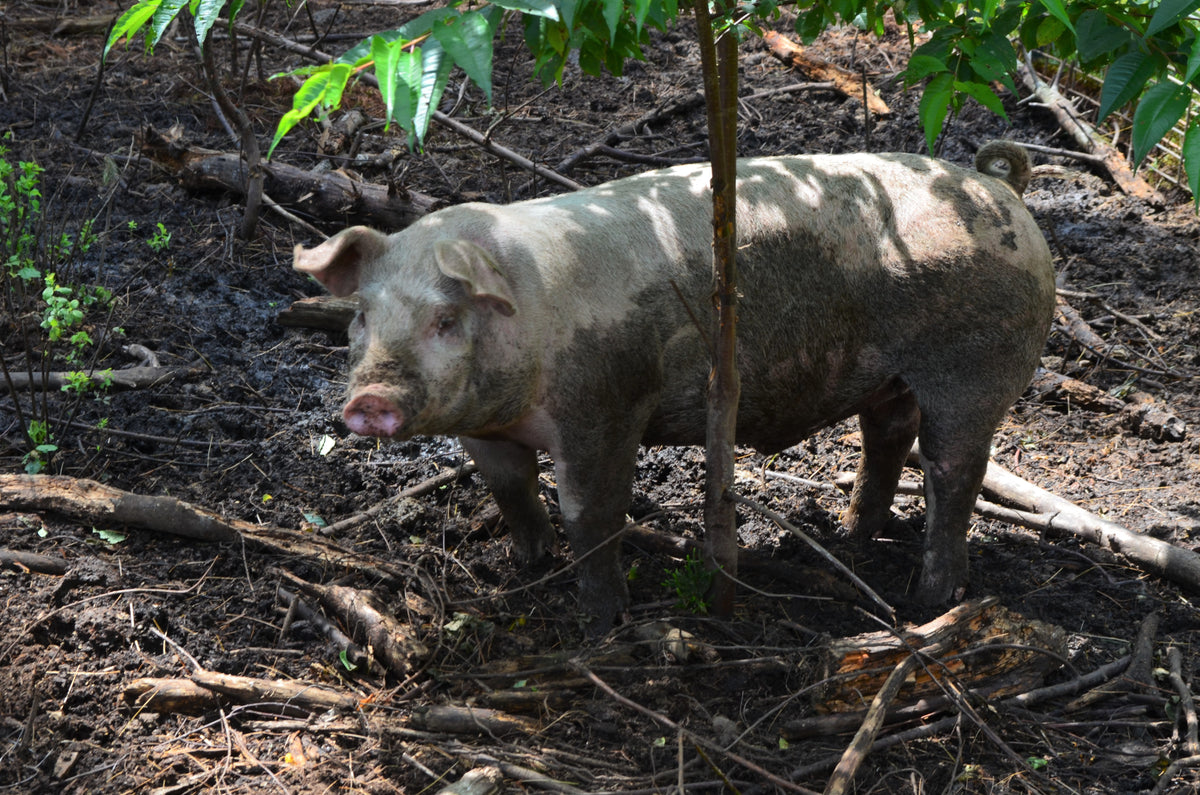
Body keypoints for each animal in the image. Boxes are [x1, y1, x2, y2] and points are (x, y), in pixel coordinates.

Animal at [294, 141, 1055, 631]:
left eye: (447, 320)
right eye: (362, 315)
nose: (367, 403)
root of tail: (1005, 191)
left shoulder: (606, 409)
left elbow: (592, 514)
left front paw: (601, 622)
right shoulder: (486, 428)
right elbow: (511, 492)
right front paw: (525, 568)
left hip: (976, 366)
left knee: (953, 470)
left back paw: (929, 600)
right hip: (891, 377)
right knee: (888, 437)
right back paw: (853, 533)